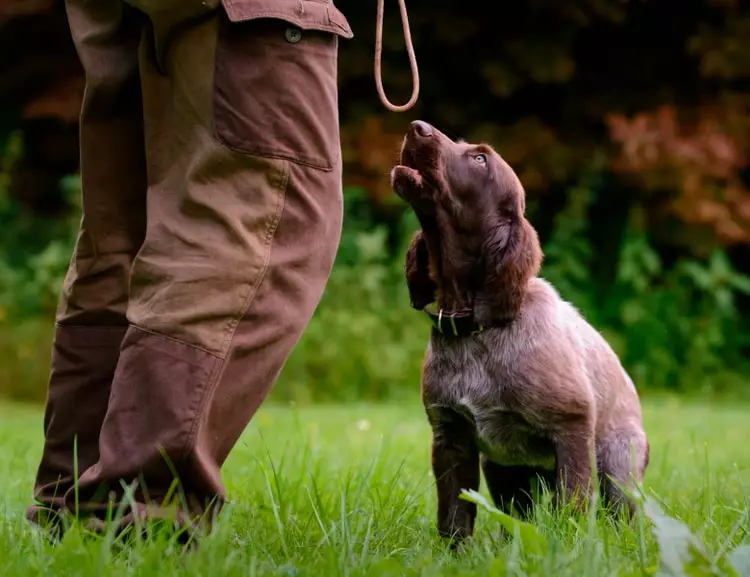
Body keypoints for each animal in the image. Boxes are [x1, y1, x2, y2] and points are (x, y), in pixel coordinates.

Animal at [390, 120, 648, 544]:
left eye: (480, 158)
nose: (416, 125)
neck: (476, 327)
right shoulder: (451, 436)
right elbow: (454, 512)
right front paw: (455, 553)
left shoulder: (571, 430)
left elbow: (572, 506)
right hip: (504, 471)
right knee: (517, 516)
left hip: (617, 465)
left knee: (620, 515)